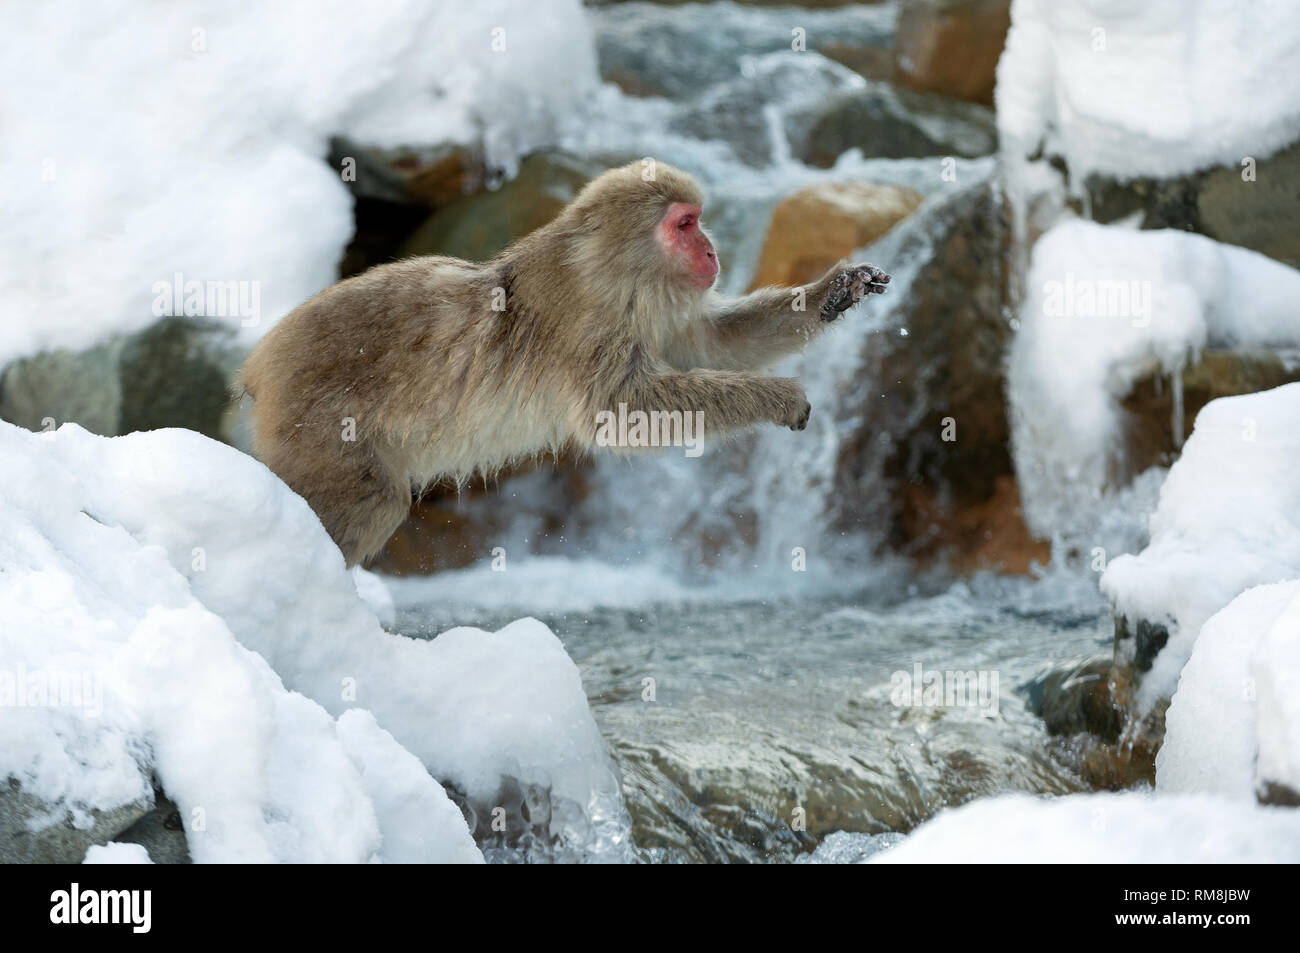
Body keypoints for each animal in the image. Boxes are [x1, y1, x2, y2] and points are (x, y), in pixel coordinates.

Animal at [238, 160, 890, 566]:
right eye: (685, 224)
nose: (711, 251)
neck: (615, 273)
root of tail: (261, 362)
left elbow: (710, 345)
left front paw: (837, 289)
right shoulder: (592, 324)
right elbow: (619, 414)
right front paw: (778, 396)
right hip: (321, 429)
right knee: (367, 502)